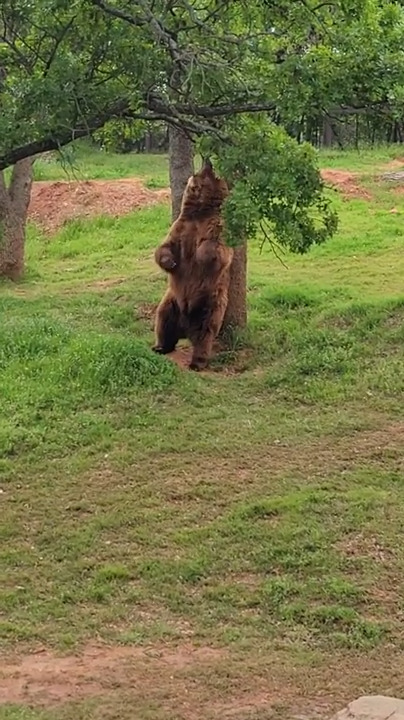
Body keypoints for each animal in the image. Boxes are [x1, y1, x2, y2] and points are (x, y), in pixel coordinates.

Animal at [152, 158, 233, 371]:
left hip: (210, 304)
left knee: (205, 334)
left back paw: (197, 362)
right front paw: (170, 261)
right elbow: (164, 247)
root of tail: (186, 328)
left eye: (213, 172)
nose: (208, 159)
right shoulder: (179, 228)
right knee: (163, 321)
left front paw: (200, 255)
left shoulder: (217, 227)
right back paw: (160, 346)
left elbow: (217, 250)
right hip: (172, 302)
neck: (199, 213)